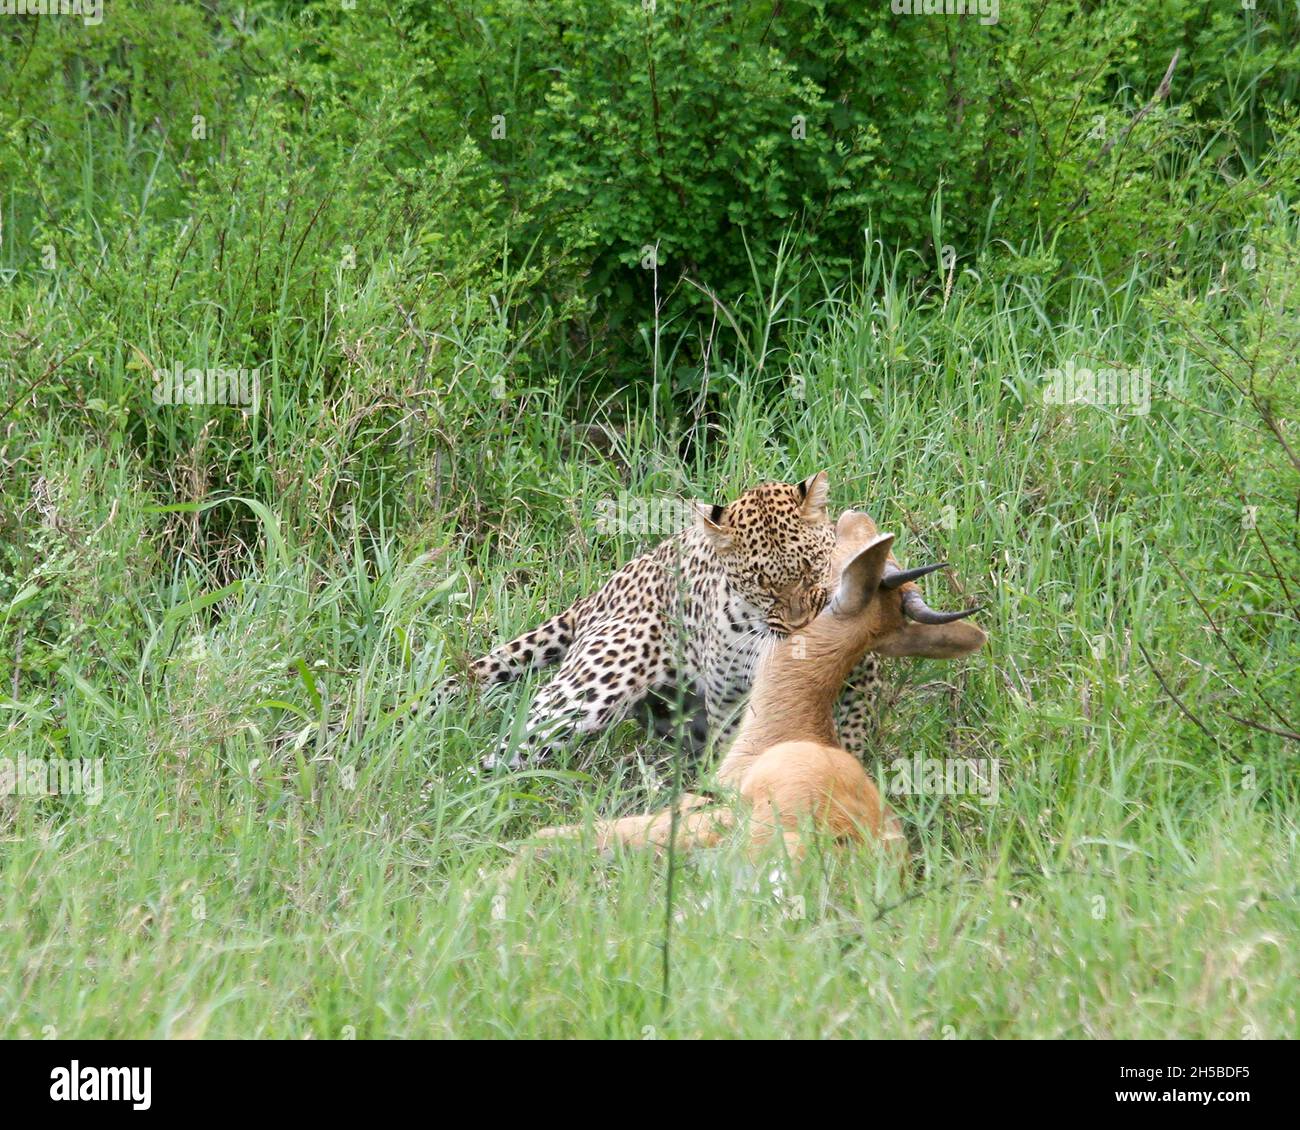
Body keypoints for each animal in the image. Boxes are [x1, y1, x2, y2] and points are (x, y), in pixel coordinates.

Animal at [469, 471, 885, 771]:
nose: (801, 625)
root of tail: (599, 593)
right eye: (761, 584)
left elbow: (850, 727)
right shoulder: (731, 698)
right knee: (509, 747)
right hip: (591, 688)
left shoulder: (861, 676)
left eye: (812, 567)